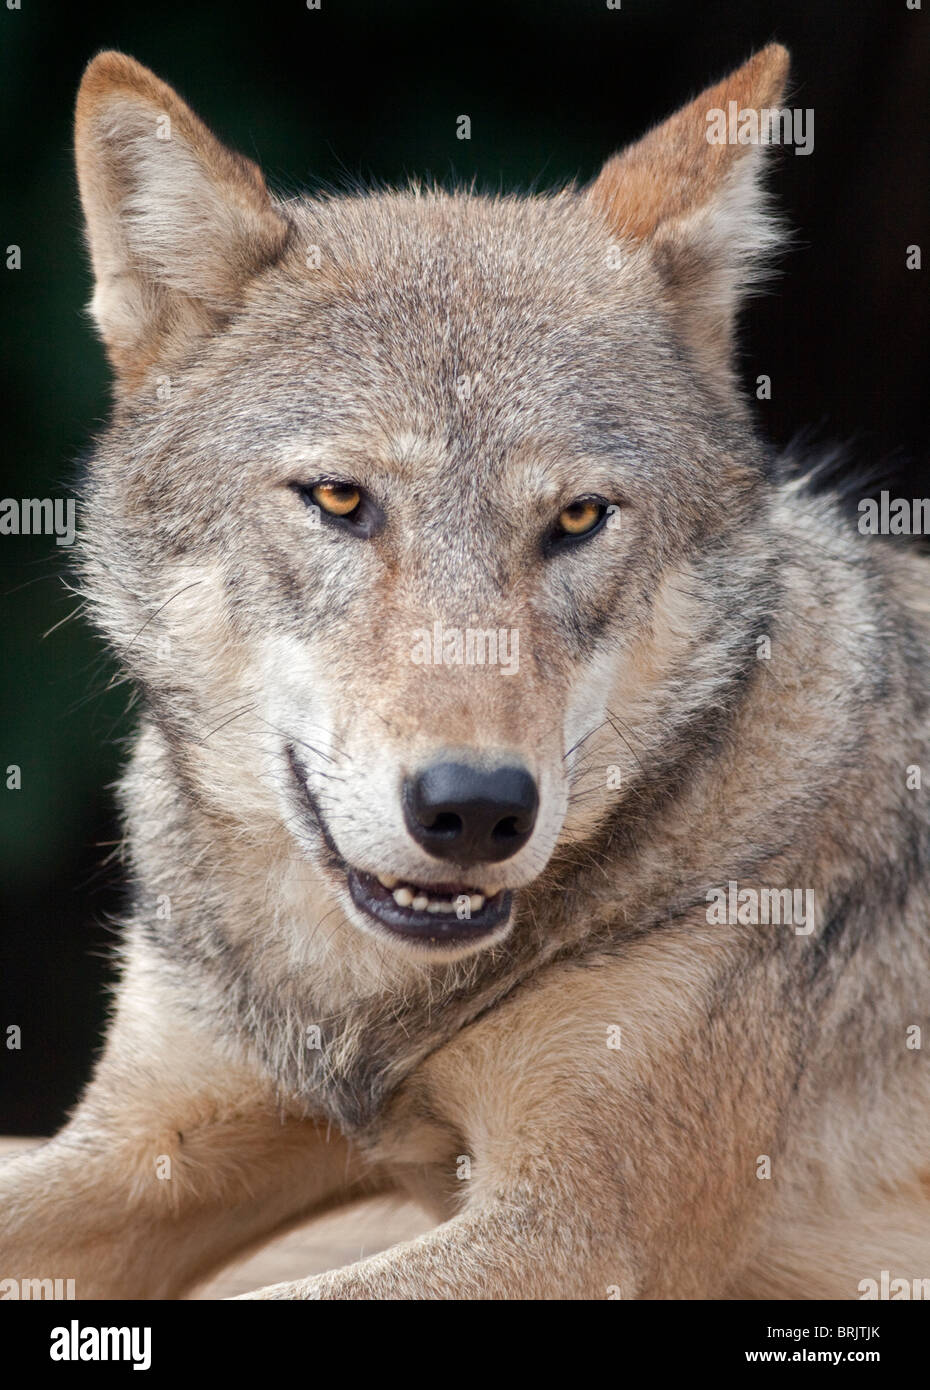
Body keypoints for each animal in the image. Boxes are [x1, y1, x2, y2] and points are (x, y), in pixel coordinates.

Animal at [2, 43, 929, 1300]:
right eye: (340, 498)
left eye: (578, 518)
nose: (477, 809)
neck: (366, 1013)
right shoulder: (146, 1145)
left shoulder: (566, 1229)